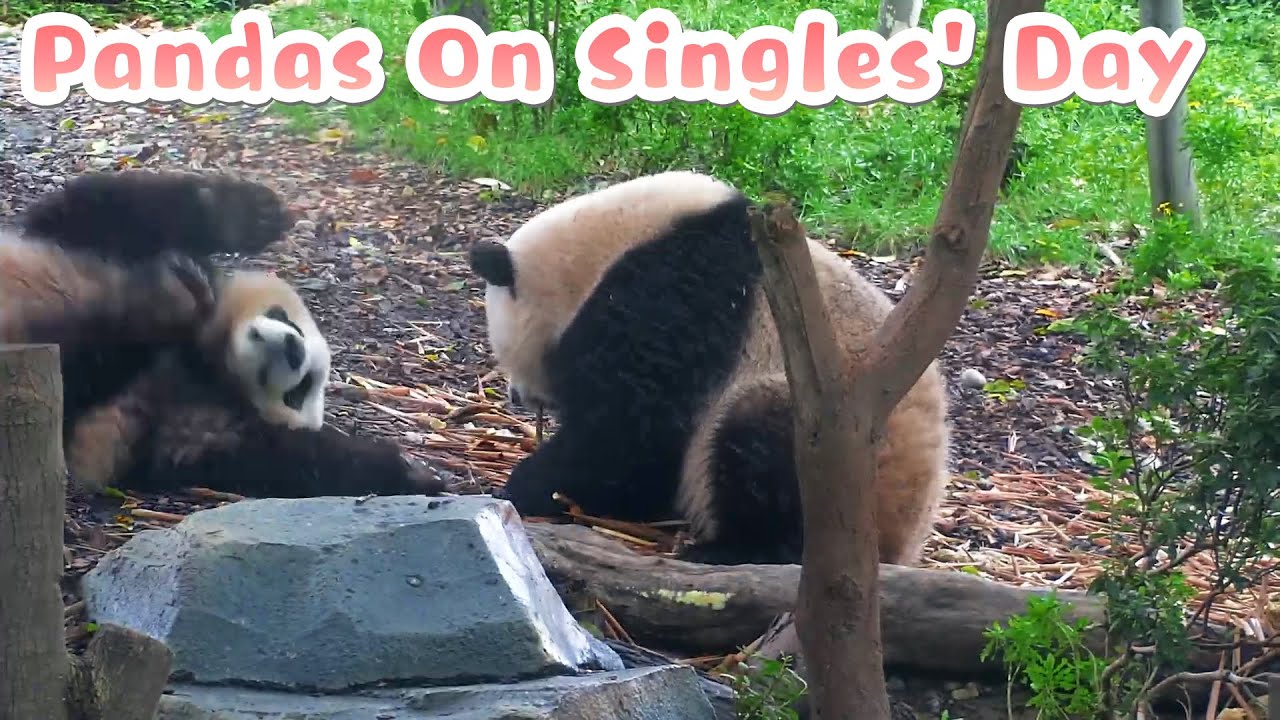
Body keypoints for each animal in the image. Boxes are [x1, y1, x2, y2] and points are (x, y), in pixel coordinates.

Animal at [2, 169, 446, 499]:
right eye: (287, 319)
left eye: (298, 392)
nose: (292, 348)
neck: (208, 355)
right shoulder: (79, 241)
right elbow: (92, 207)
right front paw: (250, 214)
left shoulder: (162, 421)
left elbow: (267, 456)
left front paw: (411, 472)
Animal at [468, 170, 951, 566]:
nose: (515, 395)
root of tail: (902, 543)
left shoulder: (667, 302)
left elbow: (630, 435)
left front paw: (527, 486)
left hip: (840, 440)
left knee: (762, 446)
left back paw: (733, 549)